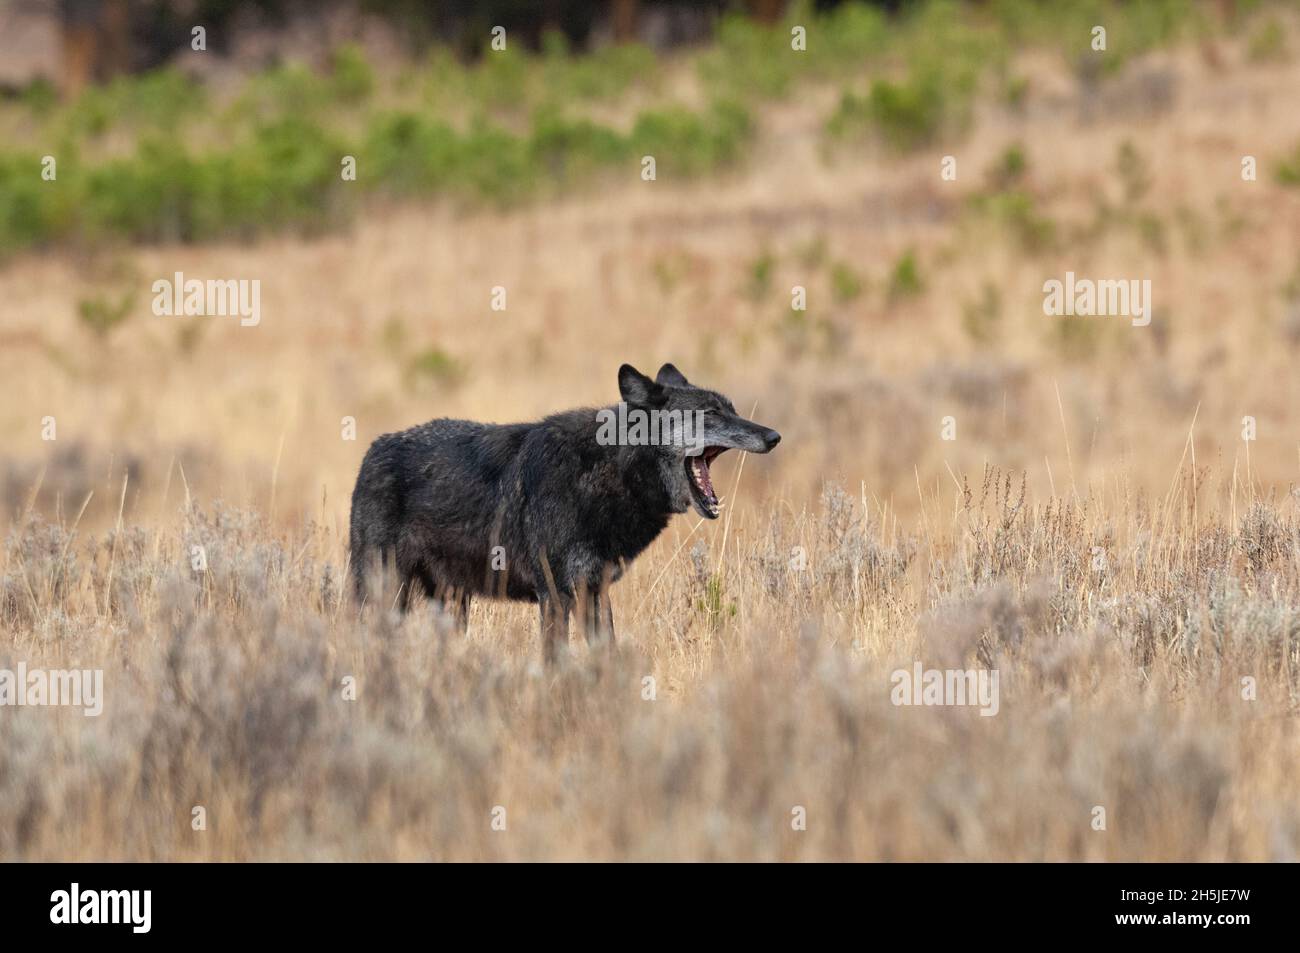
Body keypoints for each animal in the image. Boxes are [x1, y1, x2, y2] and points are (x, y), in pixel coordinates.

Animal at [348, 363, 780, 661]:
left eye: (732, 409)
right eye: (710, 413)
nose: (774, 436)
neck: (605, 472)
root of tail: (372, 450)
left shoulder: (596, 589)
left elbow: (607, 655)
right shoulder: (555, 593)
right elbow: (555, 660)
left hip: (452, 603)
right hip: (385, 594)